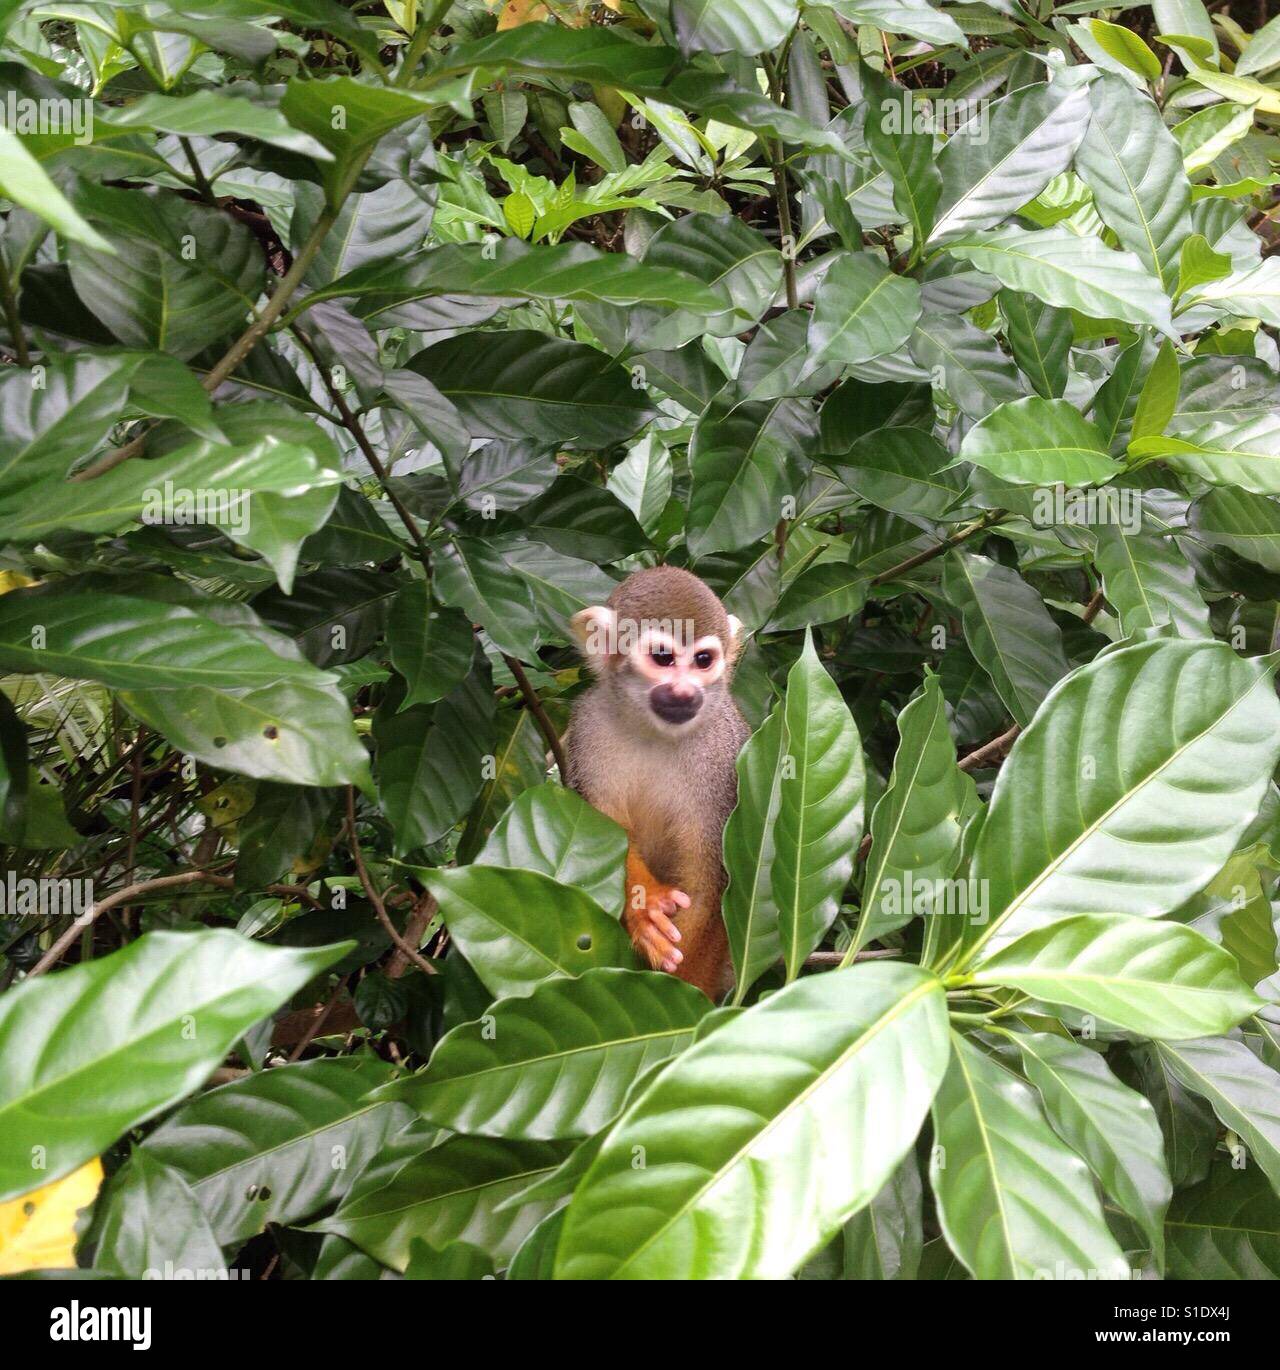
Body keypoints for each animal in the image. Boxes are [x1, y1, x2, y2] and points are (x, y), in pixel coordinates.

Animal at [565, 566, 750, 999]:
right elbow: (607, 834)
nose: (684, 692)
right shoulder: (588, 728)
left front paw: (685, 993)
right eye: (663, 658)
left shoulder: (724, 757)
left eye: (703, 660)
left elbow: (714, 884)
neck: (653, 731)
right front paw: (644, 906)